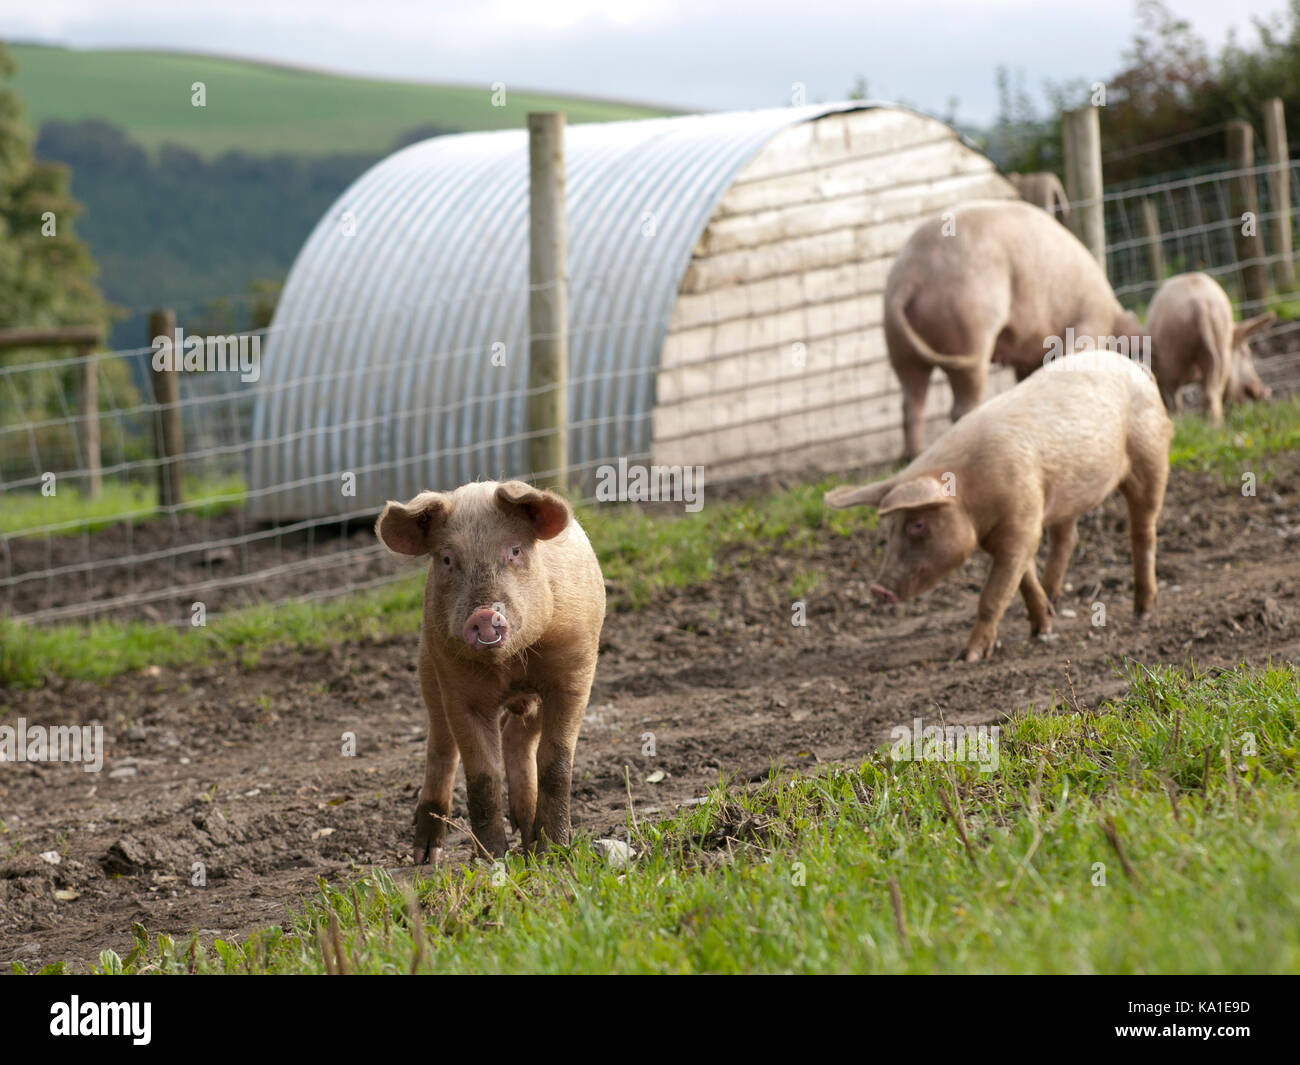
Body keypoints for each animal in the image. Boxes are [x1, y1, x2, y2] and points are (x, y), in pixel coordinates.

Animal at [375, 480, 605, 862]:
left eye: (514, 549)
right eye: (447, 559)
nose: (483, 614)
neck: (509, 664)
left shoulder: (574, 670)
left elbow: (555, 762)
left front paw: (554, 851)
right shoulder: (458, 686)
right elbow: (482, 774)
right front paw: (492, 859)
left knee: (516, 738)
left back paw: (529, 838)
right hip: (428, 666)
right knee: (441, 748)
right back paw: (427, 855)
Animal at [825, 350, 1172, 662]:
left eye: (918, 524)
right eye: (890, 528)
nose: (877, 589)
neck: (972, 495)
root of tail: (1133, 365)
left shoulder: (1021, 521)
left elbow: (992, 596)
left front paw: (969, 656)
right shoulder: (1018, 528)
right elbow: (1023, 581)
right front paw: (1041, 629)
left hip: (1150, 457)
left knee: (1143, 530)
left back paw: (1143, 610)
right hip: (1068, 494)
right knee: (1067, 539)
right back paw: (1055, 599)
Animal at [885, 199, 1141, 459]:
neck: (1112, 317)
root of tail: (911, 275)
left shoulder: (1029, 354)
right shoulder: (1088, 321)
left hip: (898, 345)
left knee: (911, 403)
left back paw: (911, 455)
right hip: (968, 324)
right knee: (960, 404)